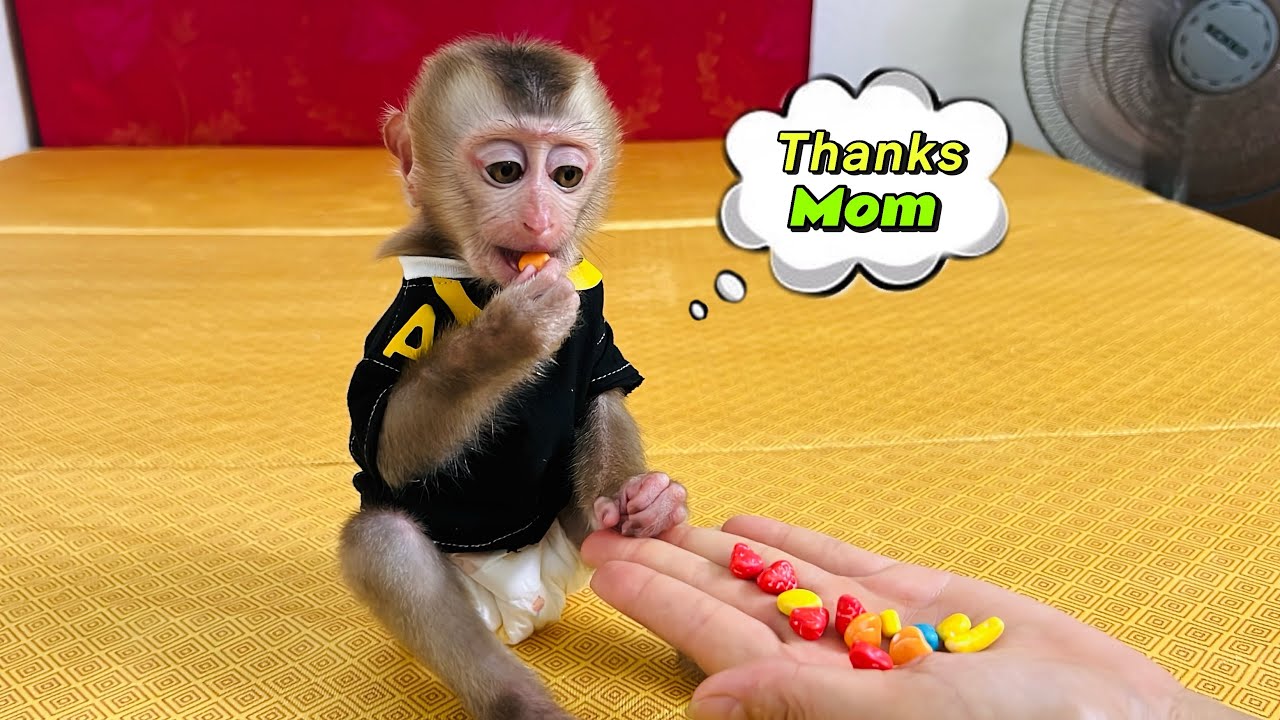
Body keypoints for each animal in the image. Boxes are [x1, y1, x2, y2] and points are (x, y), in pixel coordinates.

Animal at [337, 36, 690, 720]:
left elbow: (601, 396)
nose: (540, 222)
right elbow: (388, 446)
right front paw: (514, 332)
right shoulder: (404, 322)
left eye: (566, 177)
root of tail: (528, 603)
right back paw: (517, 699)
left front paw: (644, 500)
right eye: (505, 172)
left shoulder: (593, 312)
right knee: (387, 544)